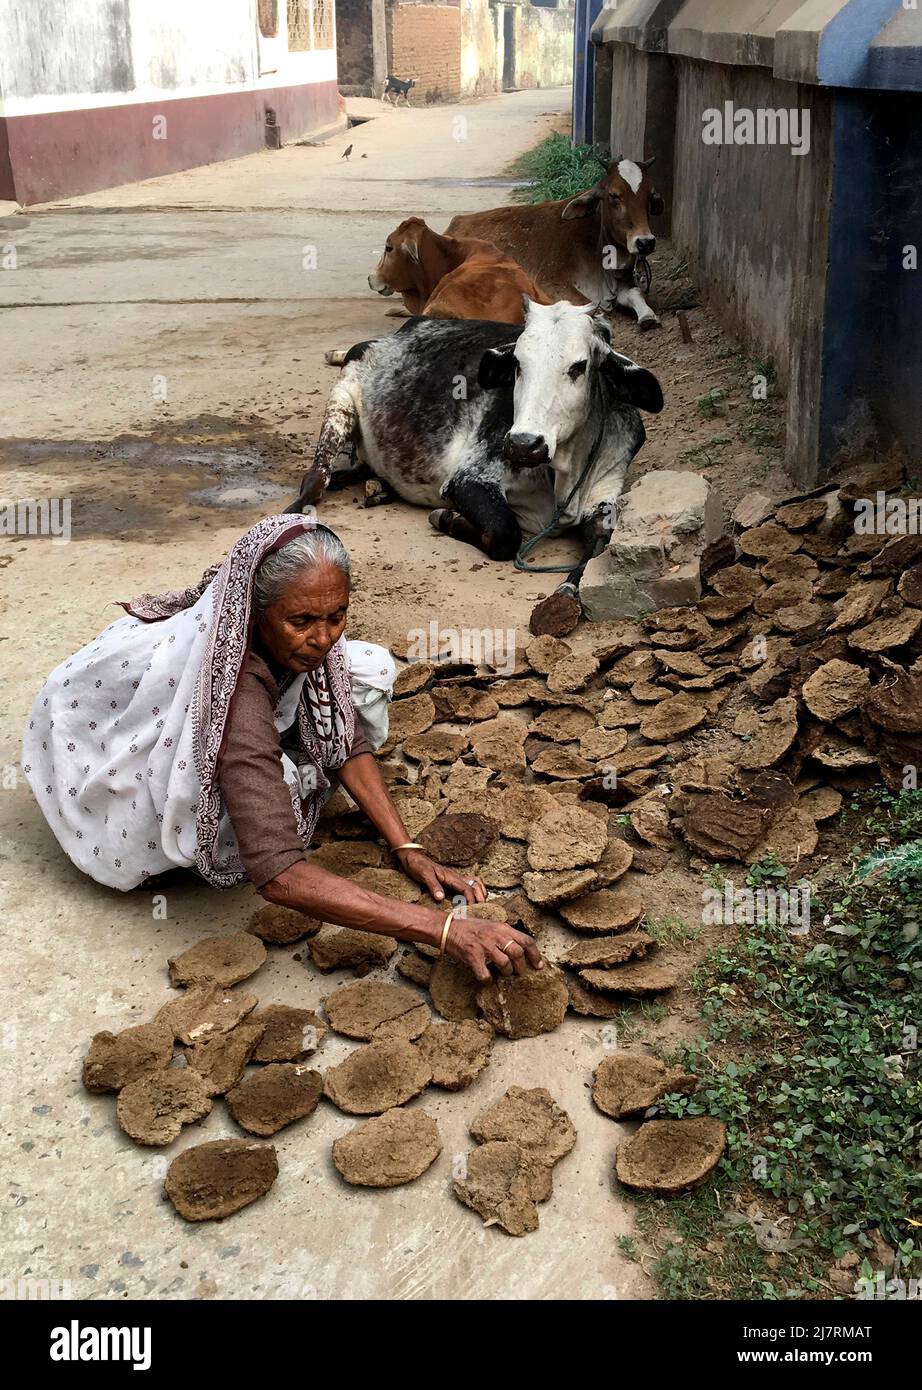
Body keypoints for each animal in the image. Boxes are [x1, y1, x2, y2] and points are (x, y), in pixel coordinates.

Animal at [287, 299, 663, 597]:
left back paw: (377, 488)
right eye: (517, 364)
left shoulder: (606, 491)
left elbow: (598, 547)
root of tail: (398, 332)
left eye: (579, 366)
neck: (564, 474)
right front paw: (447, 517)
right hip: (342, 397)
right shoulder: (468, 480)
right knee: (316, 480)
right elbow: (505, 534)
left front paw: (567, 590)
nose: (524, 445)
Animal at [446, 157, 664, 329]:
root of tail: (456, 222)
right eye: (614, 195)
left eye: (651, 195)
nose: (645, 242)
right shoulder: (551, 282)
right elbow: (592, 307)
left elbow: (636, 293)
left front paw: (648, 317)